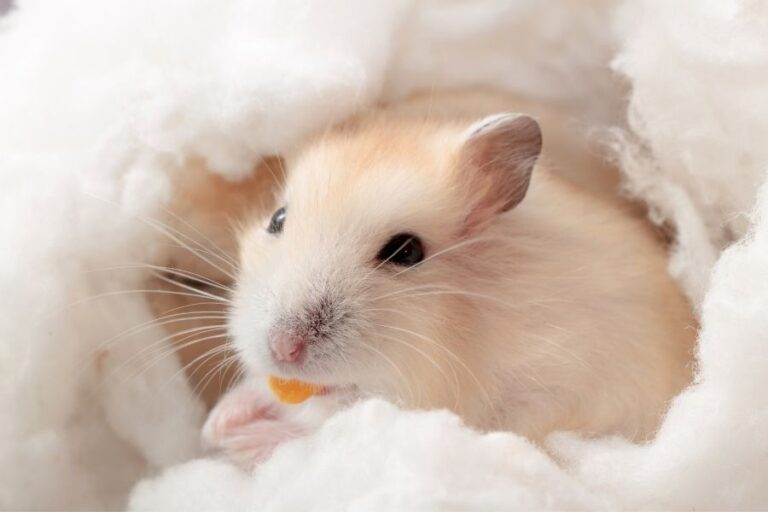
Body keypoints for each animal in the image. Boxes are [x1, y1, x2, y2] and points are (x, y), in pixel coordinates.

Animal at [204, 91, 696, 464]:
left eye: (405, 251)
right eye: (278, 220)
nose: (282, 349)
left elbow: (324, 430)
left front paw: (232, 436)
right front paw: (220, 419)